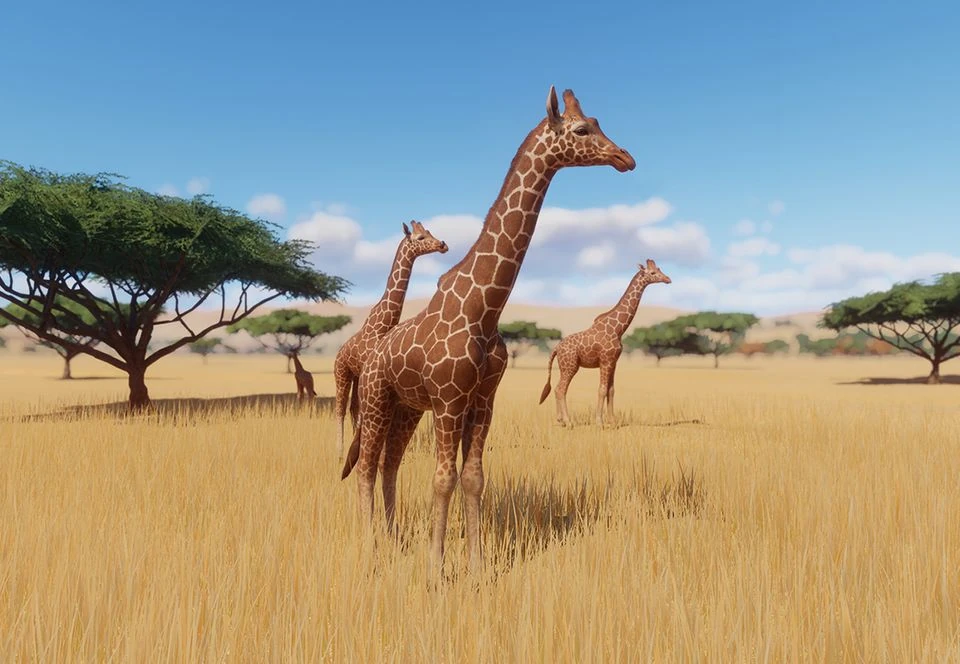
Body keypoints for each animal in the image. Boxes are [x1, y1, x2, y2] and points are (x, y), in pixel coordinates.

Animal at [333, 220, 449, 457]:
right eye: (420, 237)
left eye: (429, 232)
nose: (442, 244)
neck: (383, 324)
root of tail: (340, 351)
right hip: (342, 373)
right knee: (340, 408)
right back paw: (339, 453)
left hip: (357, 377)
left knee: (354, 408)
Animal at [539, 259, 671, 427]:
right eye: (653, 273)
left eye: (660, 269)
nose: (668, 279)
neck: (618, 329)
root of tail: (556, 348)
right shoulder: (605, 360)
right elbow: (602, 389)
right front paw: (599, 423)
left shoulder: (613, 362)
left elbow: (611, 390)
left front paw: (613, 422)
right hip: (570, 366)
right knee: (561, 389)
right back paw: (569, 422)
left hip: (565, 367)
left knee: (557, 388)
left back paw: (560, 420)